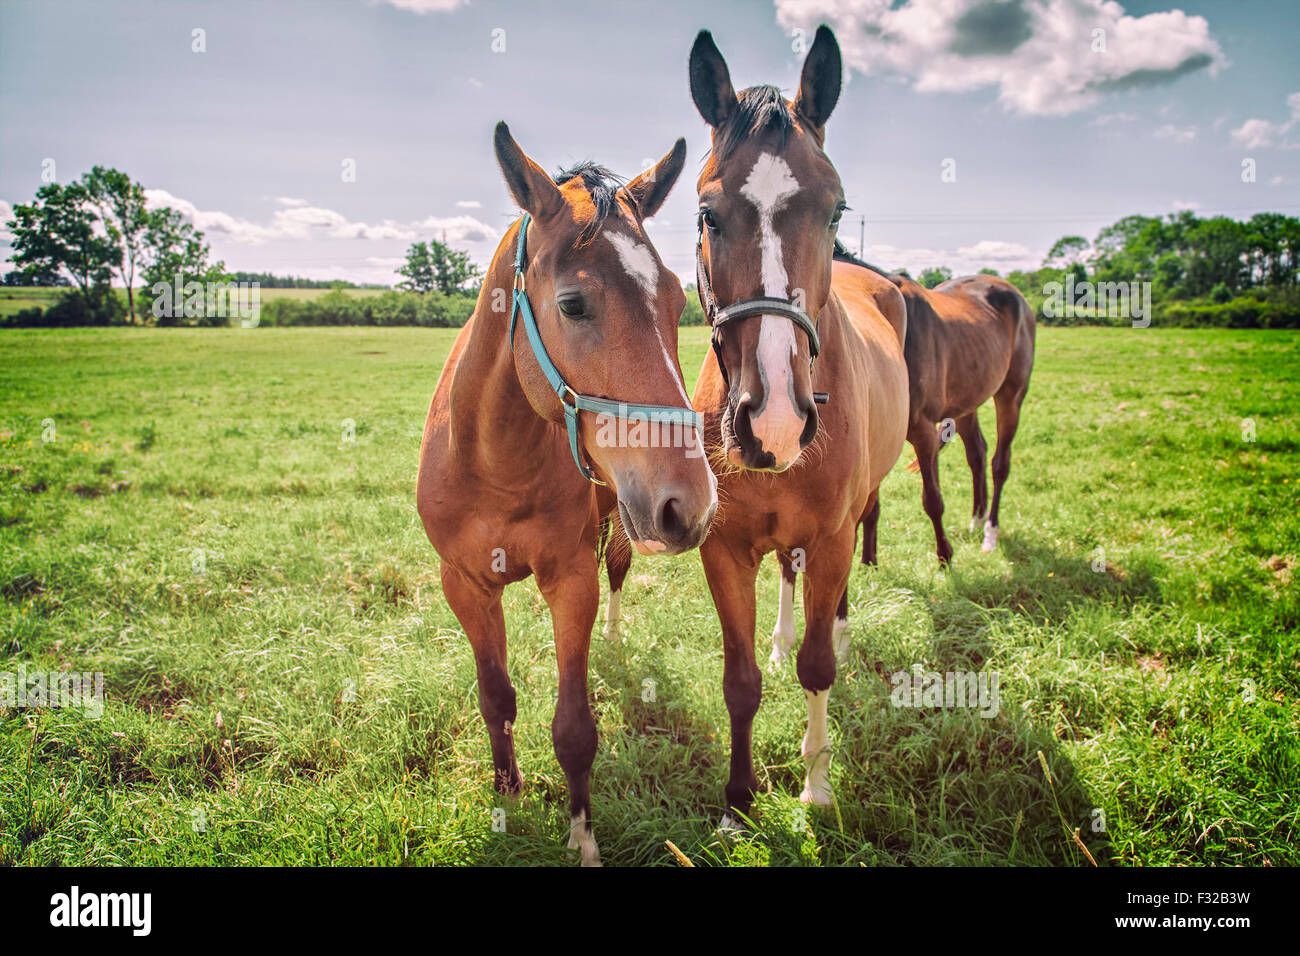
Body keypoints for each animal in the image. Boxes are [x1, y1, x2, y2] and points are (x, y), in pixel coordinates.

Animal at [416, 122, 718, 866]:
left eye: (677, 301)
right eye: (574, 304)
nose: (690, 503)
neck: (495, 464)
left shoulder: (571, 579)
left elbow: (575, 728)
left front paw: (582, 839)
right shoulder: (463, 583)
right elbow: (495, 698)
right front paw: (508, 792)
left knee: (619, 574)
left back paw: (614, 634)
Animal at [686, 26, 910, 819]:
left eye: (836, 210)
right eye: (708, 214)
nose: (775, 421)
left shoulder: (836, 536)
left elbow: (818, 671)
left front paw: (815, 786)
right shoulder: (723, 550)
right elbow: (740, 678)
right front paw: (737, 800)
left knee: (825, 604)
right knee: (787, 573)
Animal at [831, 243, 1036, 566]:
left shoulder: (923, 432)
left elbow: (932, 500)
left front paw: (945, 556)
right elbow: (871, 505)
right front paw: (868, 561)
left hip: (1011, 396)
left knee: (1000, 463)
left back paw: (990, 533)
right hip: (966, 404)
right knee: (977, 453)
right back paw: (976, 519)